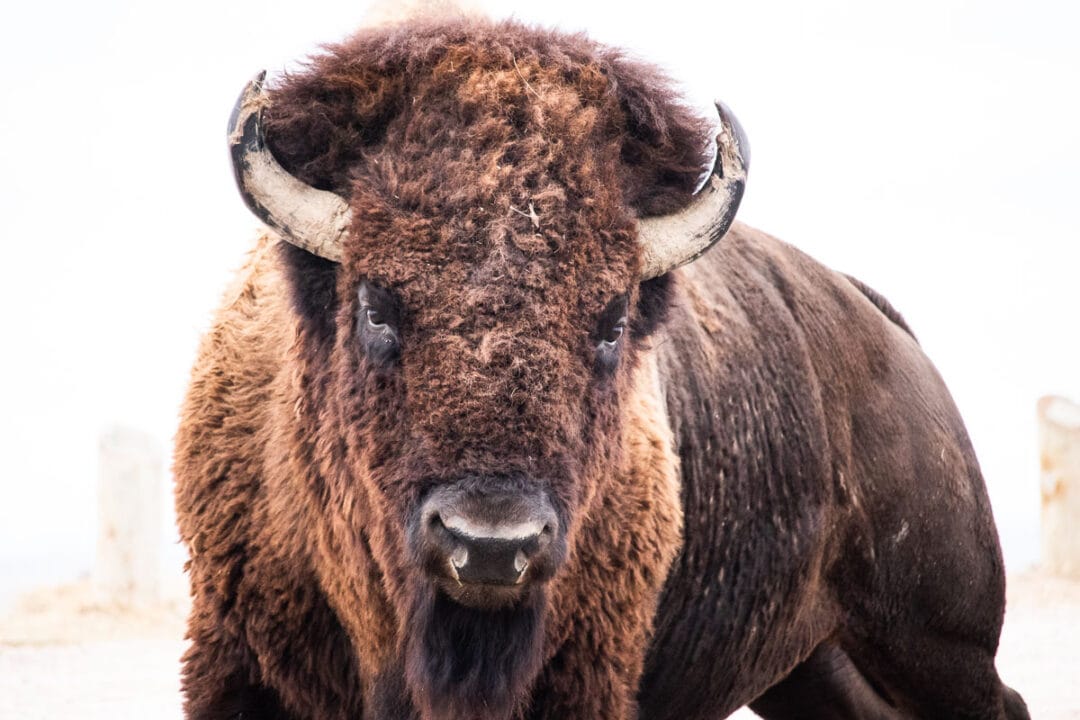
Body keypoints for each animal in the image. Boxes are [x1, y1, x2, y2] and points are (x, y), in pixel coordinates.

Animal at [175, 16, 1028, 720]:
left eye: (613, 320)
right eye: (376, 305)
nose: (493, 542)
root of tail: (882, 326)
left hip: (938, 641)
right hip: (816, 668)